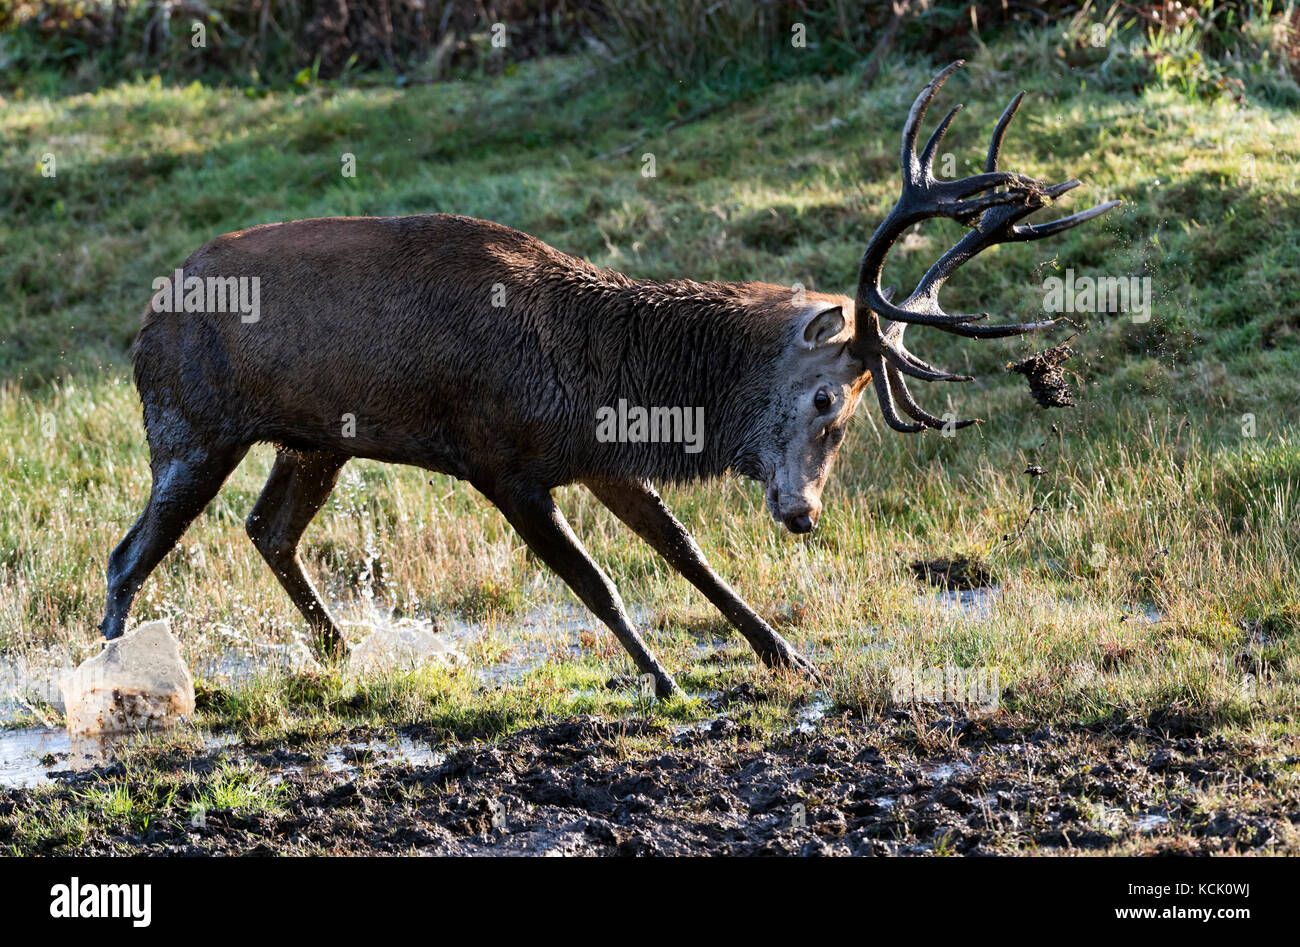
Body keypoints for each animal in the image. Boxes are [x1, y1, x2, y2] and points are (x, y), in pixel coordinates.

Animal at [100, 62, 1118, 698]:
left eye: (854, 416)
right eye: (828, 397)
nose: (804, 514)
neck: (603, 374)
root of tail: (146, 315)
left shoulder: (597, 455)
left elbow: (686, 551)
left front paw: (790, 657)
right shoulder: (502, 459)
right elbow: (595, 581)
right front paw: (663, 677)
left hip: (314, 439)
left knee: (267, 528)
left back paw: (342, 649)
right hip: (191, 424)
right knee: (128, 554)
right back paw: (107, 679)